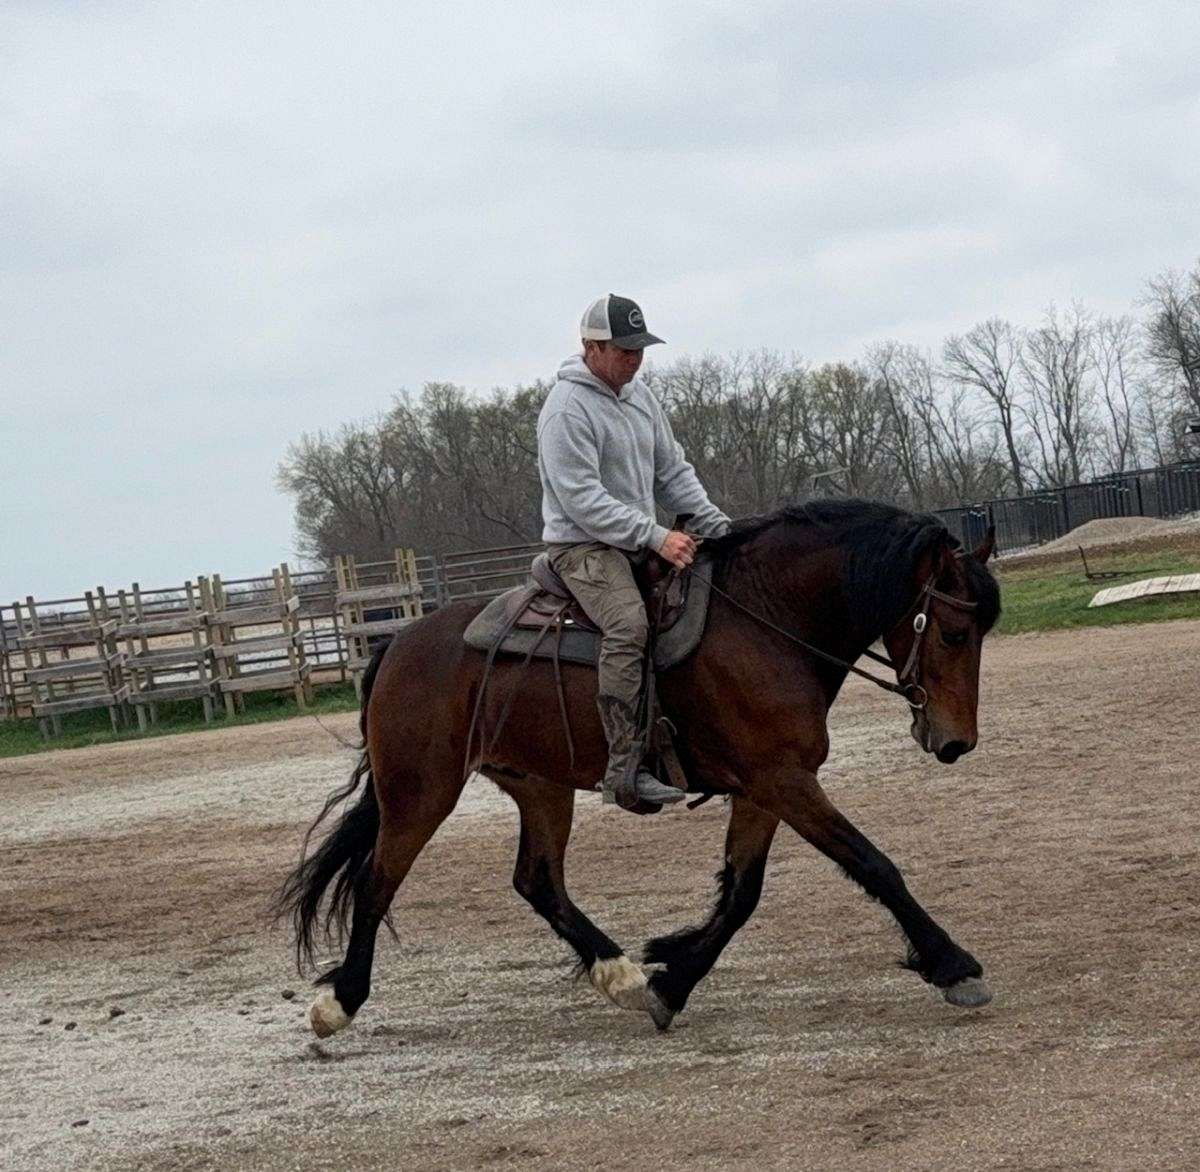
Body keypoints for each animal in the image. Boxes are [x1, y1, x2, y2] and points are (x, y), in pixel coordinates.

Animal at [277, 498, 1001, 1037]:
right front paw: (953, 964)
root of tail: (398, 643)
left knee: (538, 881)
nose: (956, 742)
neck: (766, 622)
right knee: (377, 881)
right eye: (953, 632)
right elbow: (873, 864)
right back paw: (339, 1002)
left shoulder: (765, 789)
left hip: (540, 787)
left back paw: (618, 973)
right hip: (419, 791)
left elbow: (741, 893)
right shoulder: (783, 781)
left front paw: (670, 976)